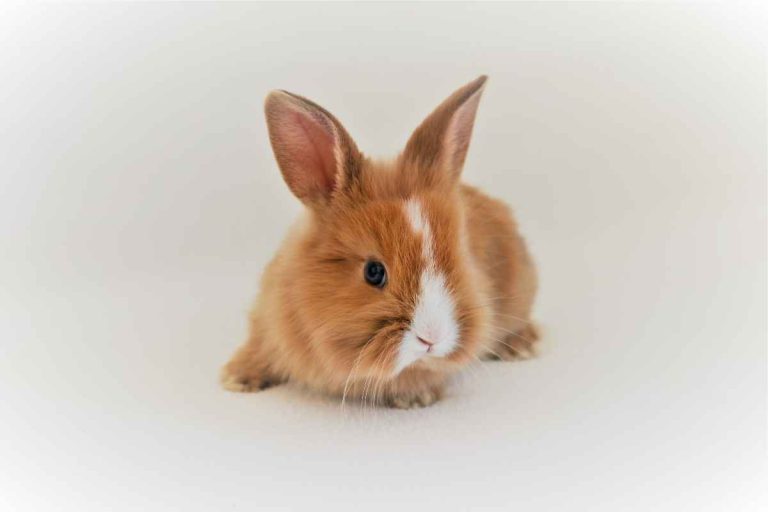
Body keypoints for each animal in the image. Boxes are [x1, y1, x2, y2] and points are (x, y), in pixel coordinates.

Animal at [221, 76, 538, 409]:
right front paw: (236, 378)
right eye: (373, 272)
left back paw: (522, 346)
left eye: (459, 261)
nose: (431, 338)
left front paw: (415, 397)